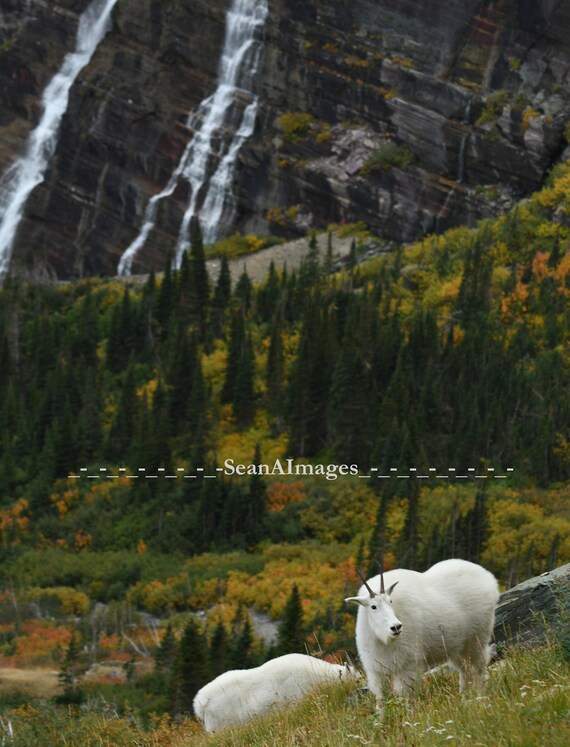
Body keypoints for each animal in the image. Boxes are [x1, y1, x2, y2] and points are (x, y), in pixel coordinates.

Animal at [345, 558, 499, 716]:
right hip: (459, 648)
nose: (396, 627)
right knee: (465, 671)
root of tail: (488, 578)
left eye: (390, 601)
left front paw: (408, 715)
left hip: (477, 639)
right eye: (373, 606)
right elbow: (380, 699)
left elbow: (405, 695)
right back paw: (464, 697)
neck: (383, 640)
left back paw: (480, 696)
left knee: (479, 668)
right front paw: (382, 720)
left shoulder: (408, 665)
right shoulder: (377, 670)